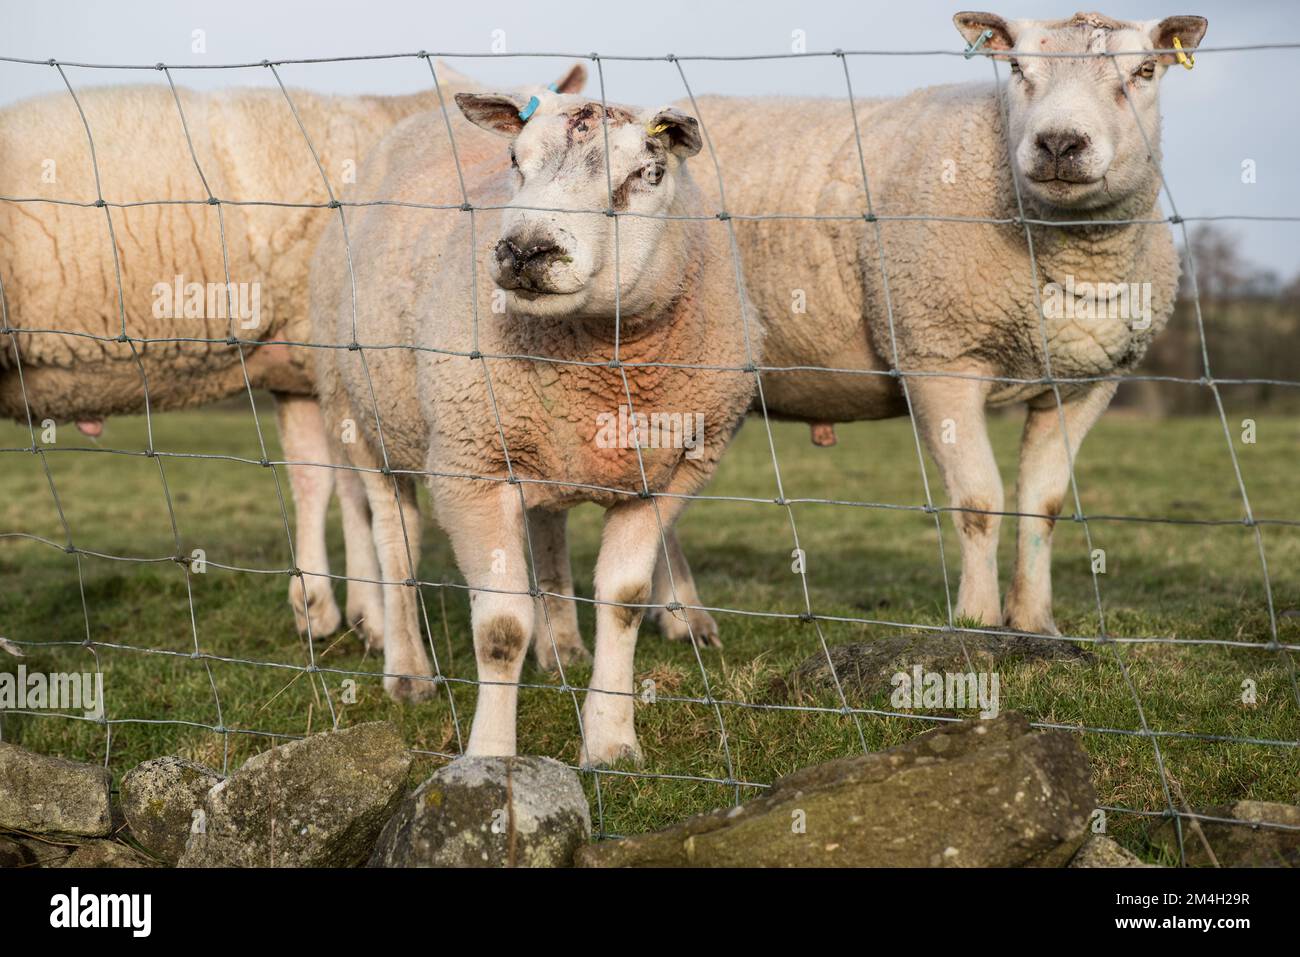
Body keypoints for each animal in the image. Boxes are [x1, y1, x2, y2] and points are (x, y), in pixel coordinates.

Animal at [0, 63, 585, 645]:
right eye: (514, 151)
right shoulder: (334, 363)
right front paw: (370, 616)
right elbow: (351, 491)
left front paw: (319, 606)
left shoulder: (299, 366)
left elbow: (312, 479)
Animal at [310, 88, 758, 761]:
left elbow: (624, 604)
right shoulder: (470, 469)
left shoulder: (668, 476)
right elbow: (500, 629)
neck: (598, 363)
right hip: (362, 415)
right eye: (515, 161)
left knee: (546, 526)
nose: (524, 251)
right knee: (395, 541)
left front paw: (611, 742)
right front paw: (490, 757)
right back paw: (409, 671)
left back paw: (563, 649)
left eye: (648, 174)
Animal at [638, 11, 1206, 641]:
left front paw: (1035, 623)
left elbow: (1045, 505)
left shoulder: (1085, 384)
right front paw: (978, 621)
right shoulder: (938, 359)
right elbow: (978, 502)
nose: (1059, 143)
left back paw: (680, 618)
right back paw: (679, 618)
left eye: (1145, 70)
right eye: (1015, 67)